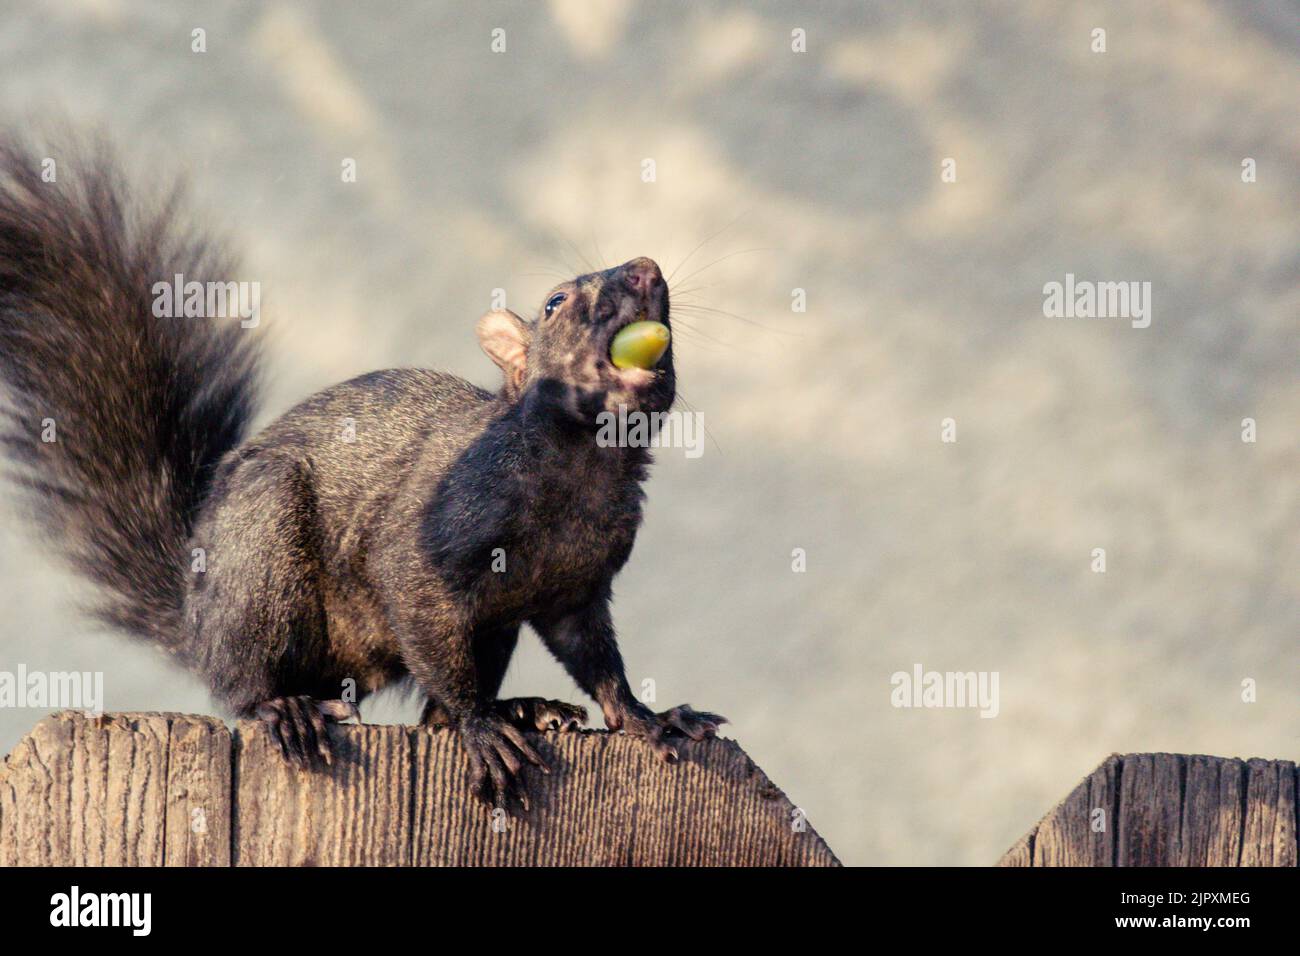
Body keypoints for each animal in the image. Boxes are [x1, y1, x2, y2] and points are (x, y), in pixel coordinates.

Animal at [0, 131, 724, 808]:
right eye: (555, 302)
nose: (646, 269)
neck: (583, 463)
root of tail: (194, 611)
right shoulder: (428, 546)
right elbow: (430, 631)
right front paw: (482, 728)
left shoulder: (577, 589)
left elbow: (598, 662)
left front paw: (649, 718)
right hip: (263, 551)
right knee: (245, 684)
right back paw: (288, 709)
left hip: (494, 625)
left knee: (430, 716)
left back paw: (525, 708)